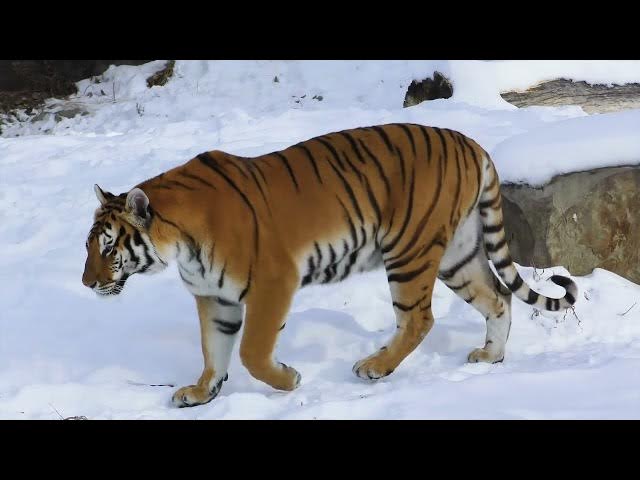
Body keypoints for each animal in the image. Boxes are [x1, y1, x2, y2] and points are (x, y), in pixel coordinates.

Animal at [82, 123, 577, 408]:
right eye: (88, 247)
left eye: (107, 248)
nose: (86, 284)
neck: (179, 245)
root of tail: (470, 142)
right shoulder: (213, 298)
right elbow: (214, 351)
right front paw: (202, 392)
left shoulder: (272, 282)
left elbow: (252, 352)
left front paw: (290, 380)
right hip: (458, 254)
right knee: (497, 297)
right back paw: (490, 356)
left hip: (410, 251)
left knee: (420, 317)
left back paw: (375, 366)